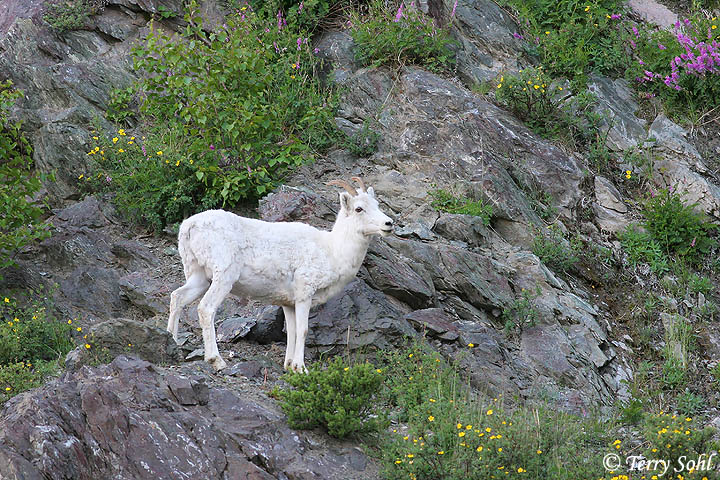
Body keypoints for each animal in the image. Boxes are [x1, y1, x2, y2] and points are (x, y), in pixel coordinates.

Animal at [166, 177, 394, 372]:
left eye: (377, 205)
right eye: (359, 208)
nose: (388, 224)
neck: (332, 251)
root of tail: (190, 226)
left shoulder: (288, 303)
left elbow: (291, 333)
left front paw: (289, 367)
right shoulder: (304, 295)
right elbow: (303, 330)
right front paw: (301, 369)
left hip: (199, 277)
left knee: (177, 297)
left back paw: (172, 343)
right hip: (223, 277)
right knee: (206, 309)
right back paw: (217, 360)